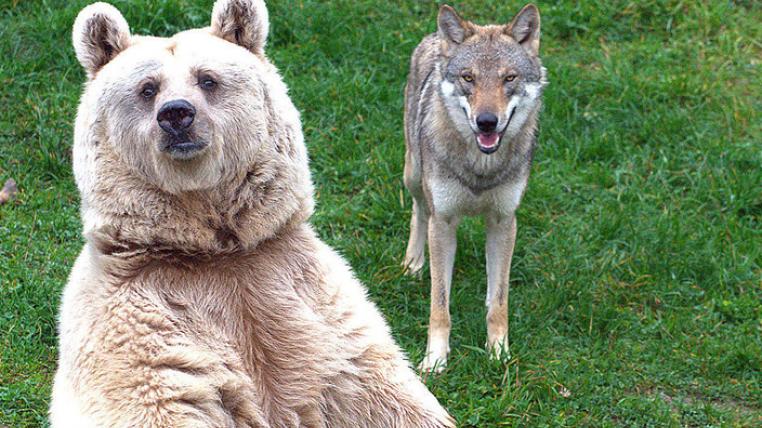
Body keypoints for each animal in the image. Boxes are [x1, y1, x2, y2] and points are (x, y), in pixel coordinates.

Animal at [49, 1, 454, 427]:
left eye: (207, 80)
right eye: (148, 88)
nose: (176, 114)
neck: (217, 248)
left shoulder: (312, 307)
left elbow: (384, 393)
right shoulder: (140, 323)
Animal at [402, 4, 547, 372]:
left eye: (509, 78)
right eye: (469, 78)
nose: (486, 122)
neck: (481, 168)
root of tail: (433, 38)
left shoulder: (504, 221)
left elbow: (499, 300)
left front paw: (499, 353)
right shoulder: (443, 222)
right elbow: (439, 305)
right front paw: (435, 360)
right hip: (413, 175)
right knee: (418, 210)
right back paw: (413, 264)